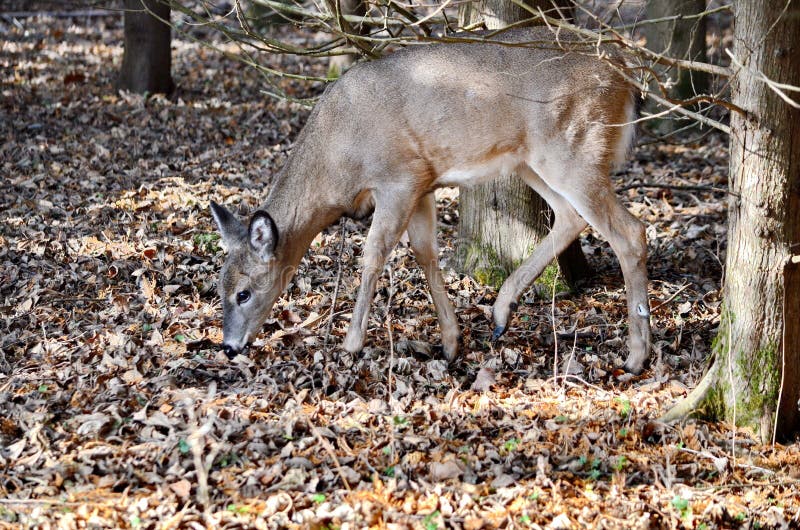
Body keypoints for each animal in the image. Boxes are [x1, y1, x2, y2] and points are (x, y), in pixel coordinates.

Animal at [210, 26, 652, 374]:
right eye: (218, 286)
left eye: (243, 292)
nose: (229, 347)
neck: (338, 160)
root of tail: (626, 70)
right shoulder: (422, 185)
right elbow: (425, 255)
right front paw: (451, 342)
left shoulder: (399, 178)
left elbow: (373, 253)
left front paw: (351, 343)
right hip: (530, 160)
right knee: (569, 216)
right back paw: (501, 313)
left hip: (575, 145)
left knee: (630, 231)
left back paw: (636, 356)